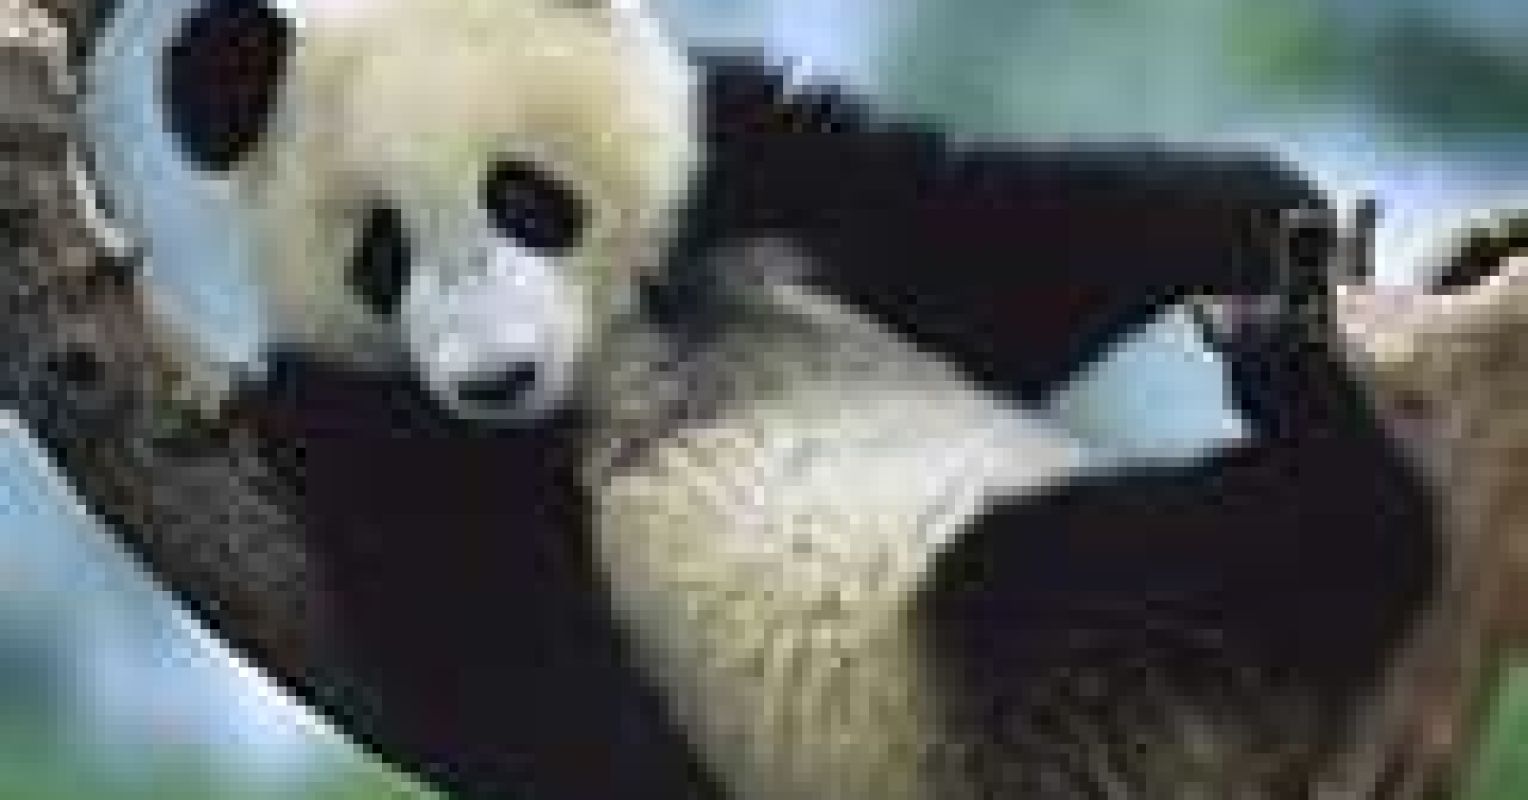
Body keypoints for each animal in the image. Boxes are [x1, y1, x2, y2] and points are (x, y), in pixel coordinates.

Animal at [75, 0, 1441, 798]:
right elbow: (538, 692)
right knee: (1125, 569)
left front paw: (1273, 220)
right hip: (980, 692)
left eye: (523, 195)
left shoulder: (744, 170)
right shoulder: (383, 434)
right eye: (381, 252)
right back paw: (1324, 446)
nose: (495, 377)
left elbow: (979, 240)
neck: (611, 353)